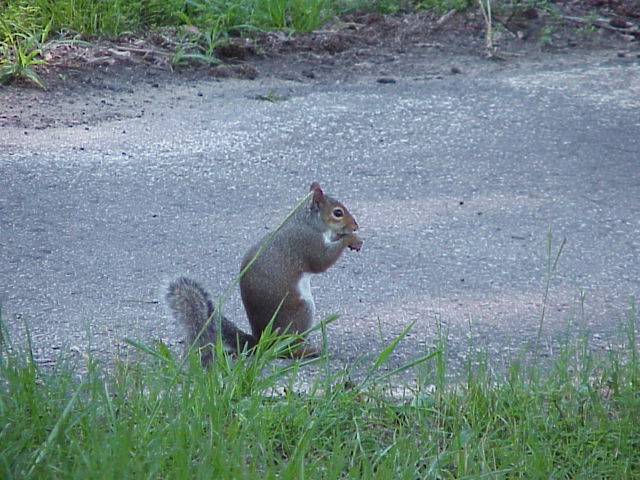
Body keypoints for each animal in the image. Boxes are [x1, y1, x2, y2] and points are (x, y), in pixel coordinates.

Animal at [166, 182, 362, 364]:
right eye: (338, 213)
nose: (355, 226)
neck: (307, 222)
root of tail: (261, 342)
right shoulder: (306, 242)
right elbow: (321, 261)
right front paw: (350, 239)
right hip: (301, 311)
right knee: (286, 350)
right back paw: (305, 352)